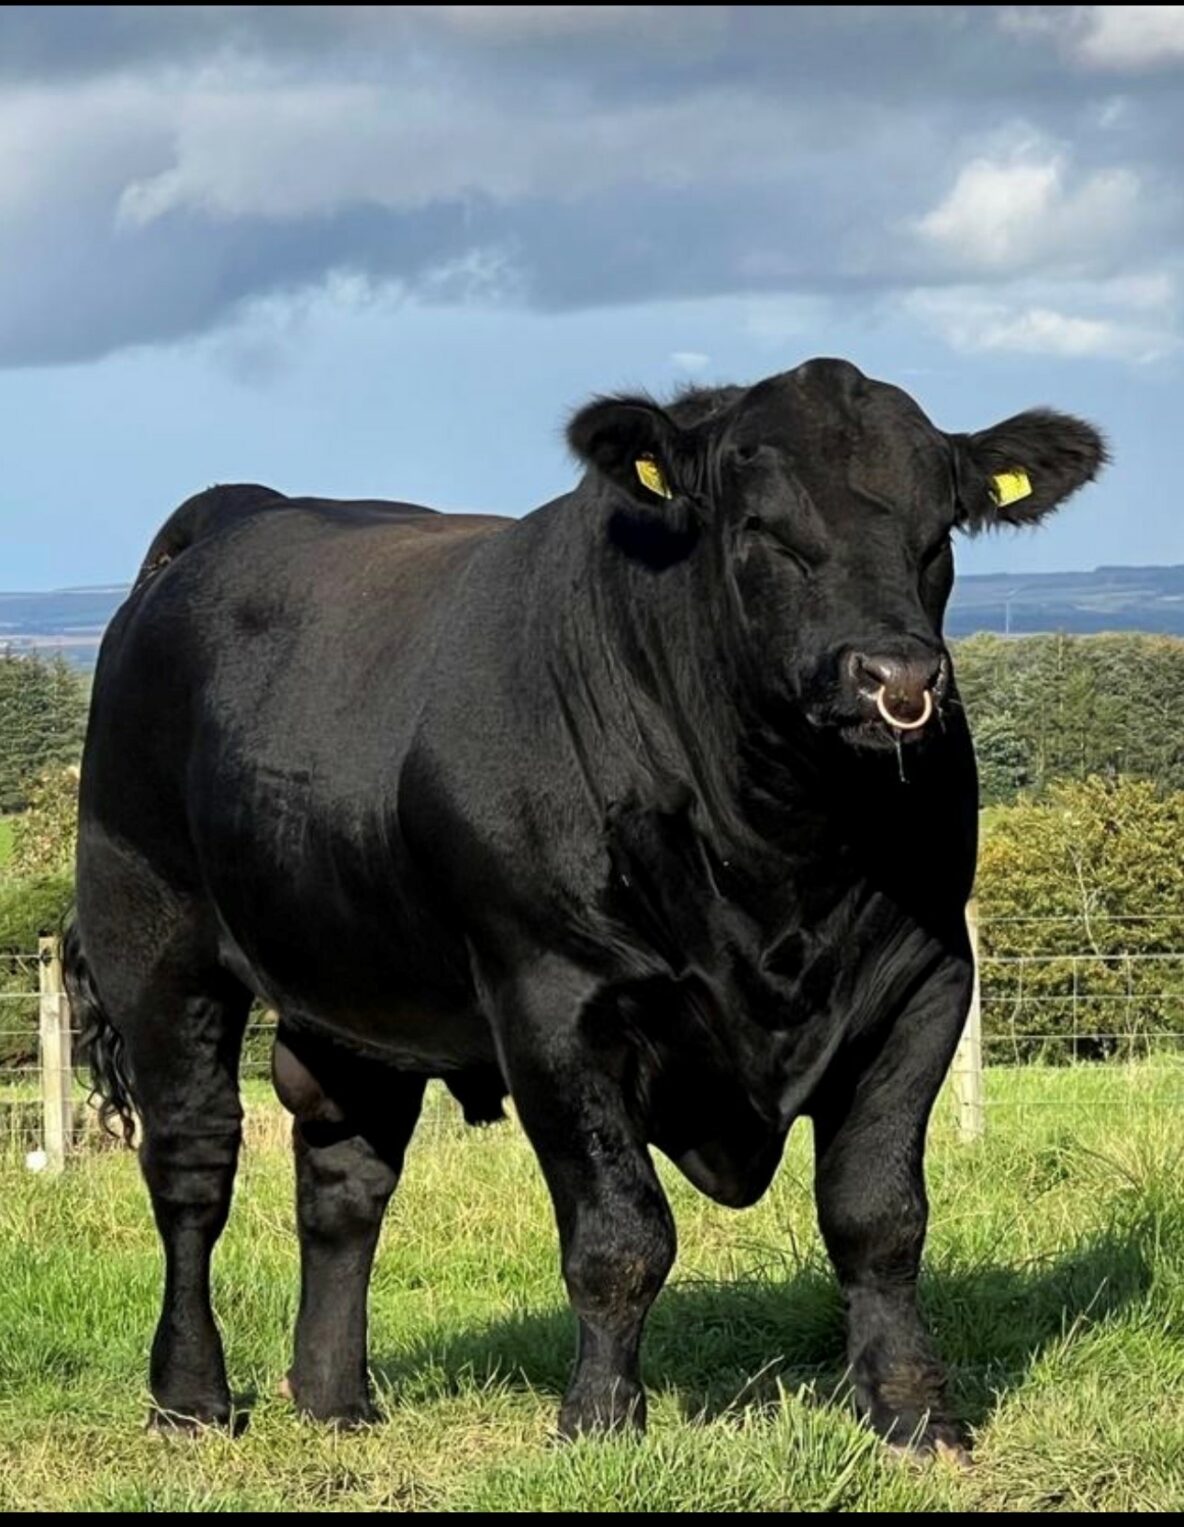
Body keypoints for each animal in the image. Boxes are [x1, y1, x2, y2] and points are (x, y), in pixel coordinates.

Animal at [65, 358, 1104, 1458]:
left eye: (937, 531)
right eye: (760, 528)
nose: (894, 676)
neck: (779, 844)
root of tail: (232, 514)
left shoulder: (925, 978)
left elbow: (878, 1214)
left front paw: (914, 1412)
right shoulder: (551, 998)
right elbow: (621, 1231)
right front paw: (601, 1421)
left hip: (352, 986)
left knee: (343, 1176)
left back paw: (335, 1397)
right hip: (152, 939)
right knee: (192, 1166)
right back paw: (191, 1399)